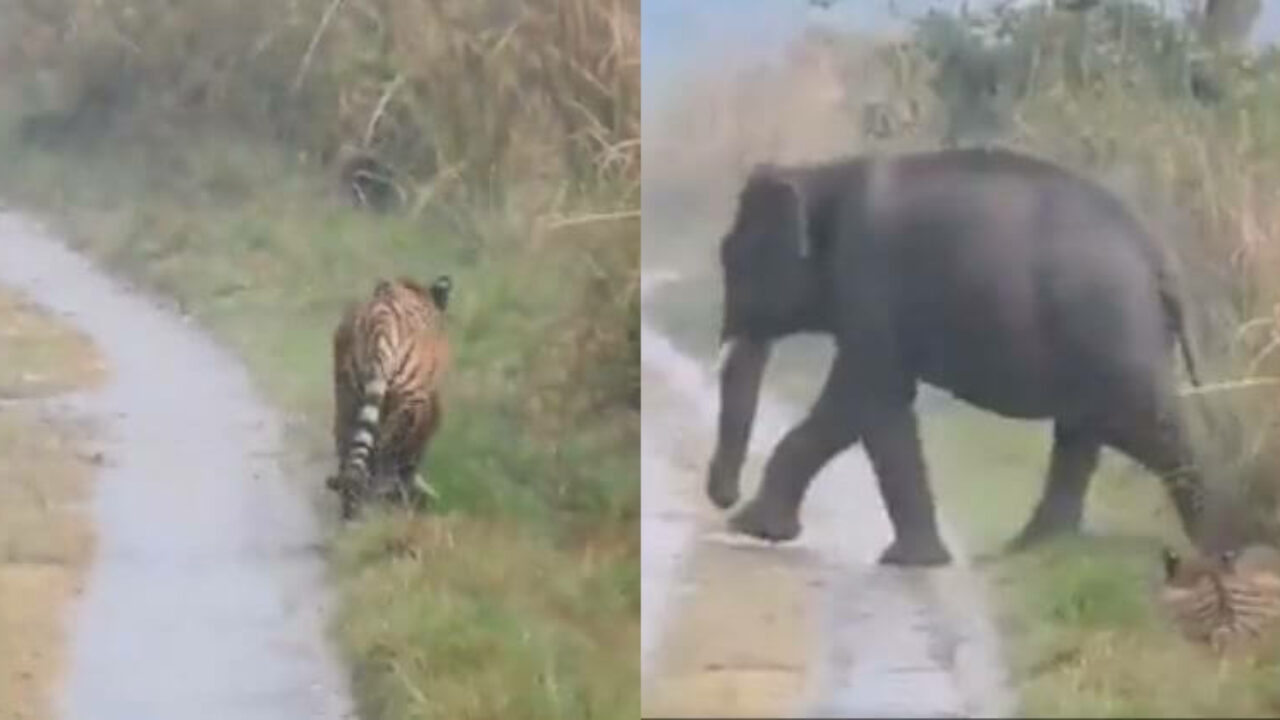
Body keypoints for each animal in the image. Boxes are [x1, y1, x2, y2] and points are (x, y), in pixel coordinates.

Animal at [326, 275, 452, 519]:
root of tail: (383, 321)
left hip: (347, 390)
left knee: (347, 441)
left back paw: (349, 493)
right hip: (407, 396)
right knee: (385, 447)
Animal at [707, 147, 1208, 566]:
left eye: (732, 259)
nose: (723, 498)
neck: (822, 172)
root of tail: (1161, 260)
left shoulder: (869, 279)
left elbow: (862, 400)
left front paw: (753, 529)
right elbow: (883, 408)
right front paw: (916, 559)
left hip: (1109, 327)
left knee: (1145, 428)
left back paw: (1215, 548)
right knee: (1083, 431)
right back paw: (1033, 549)